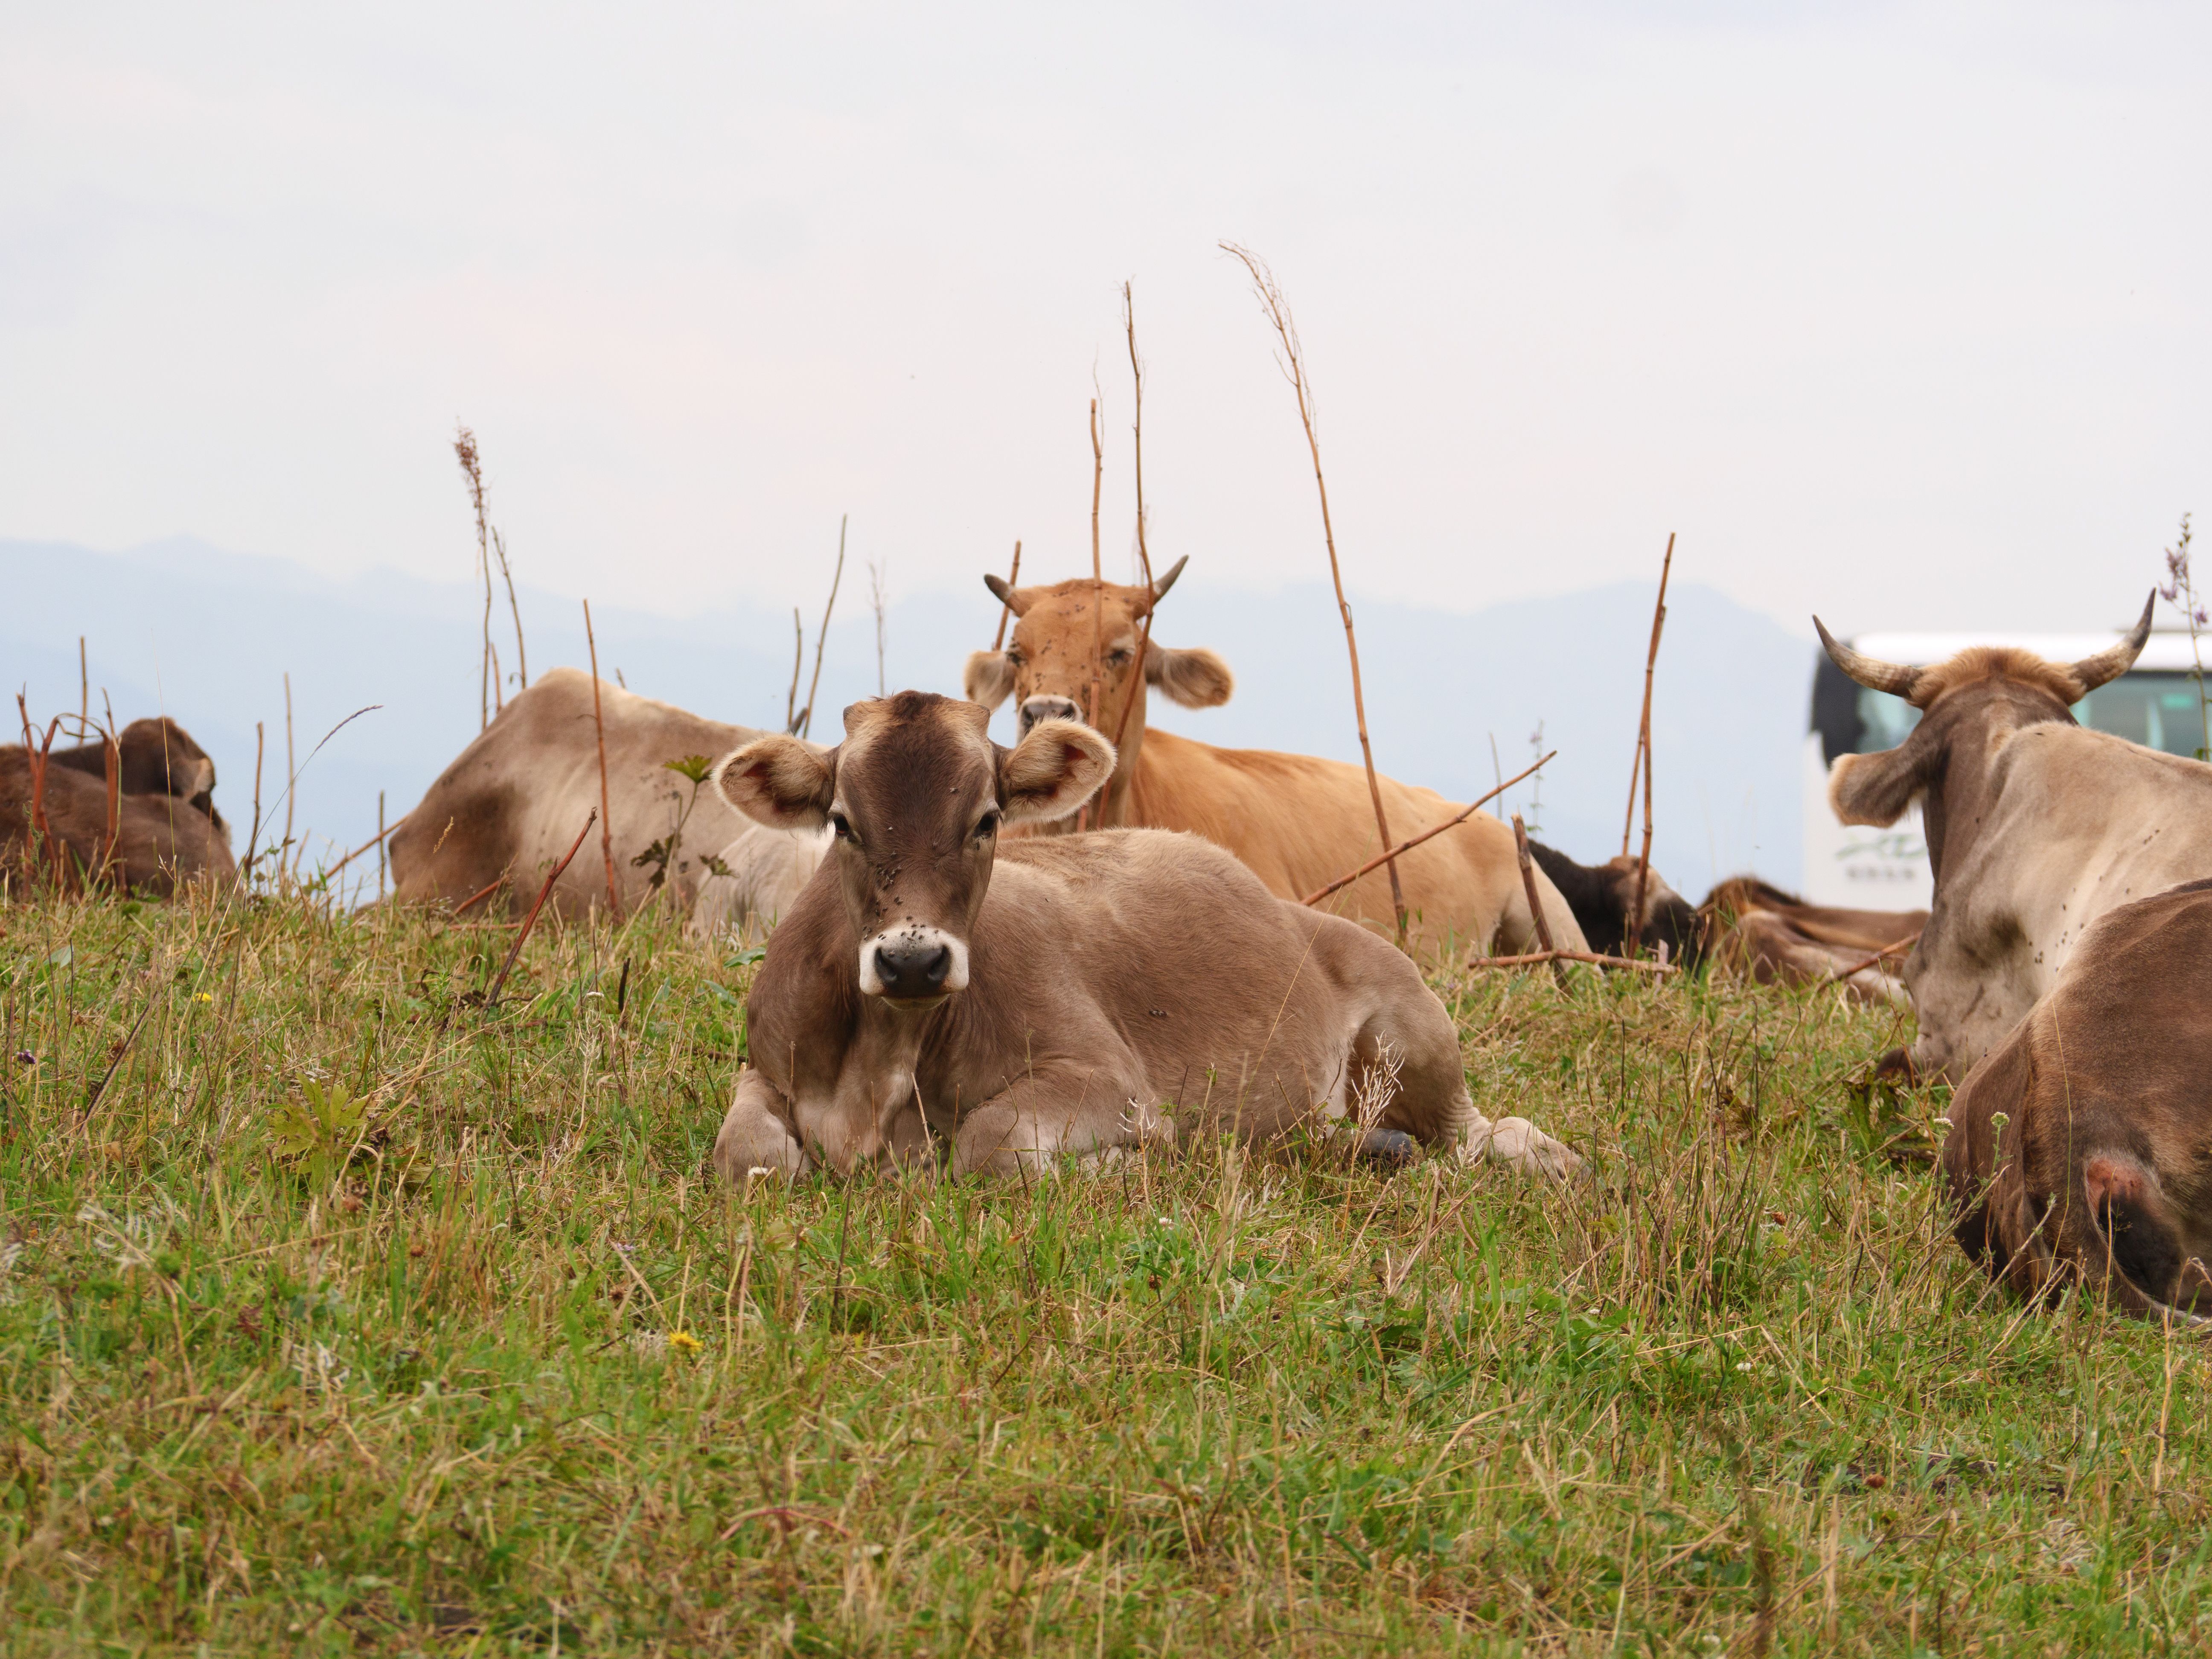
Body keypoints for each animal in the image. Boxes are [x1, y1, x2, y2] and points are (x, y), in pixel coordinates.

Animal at [705, 691, 1580, 1182]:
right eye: (842, 823)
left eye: (986, 820)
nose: (913, 961)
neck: (881, 1068)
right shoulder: (765, 1065)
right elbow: (746, 1155)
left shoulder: (1108, 1077)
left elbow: (988, 1144)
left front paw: (1126, 1163)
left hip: (1413, 1033)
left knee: (1478, 1133)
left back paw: (1545, 1158)